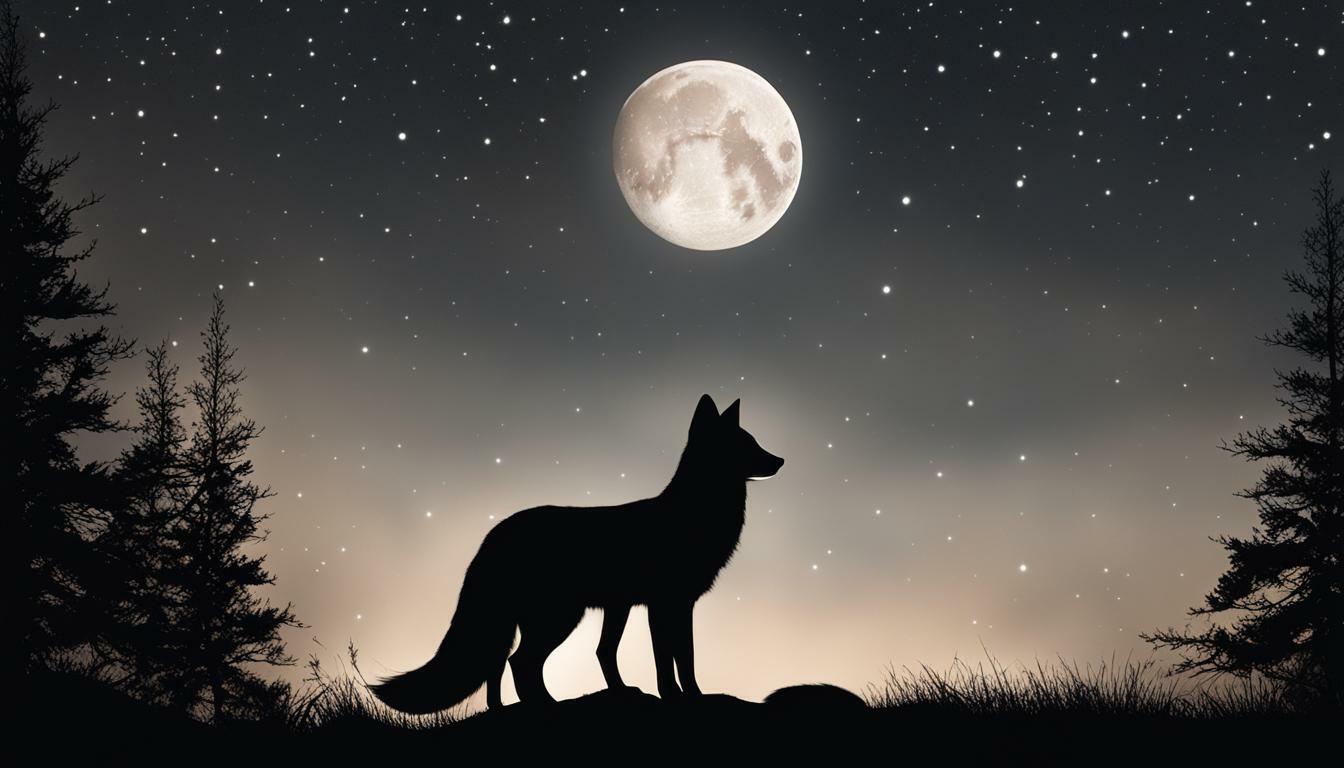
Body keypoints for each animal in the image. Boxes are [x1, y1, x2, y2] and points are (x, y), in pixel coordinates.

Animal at [370, 394, 784, 713]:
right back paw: (544, 706)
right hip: (561, 618)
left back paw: (508, 708)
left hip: (561, 618)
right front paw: (675, 698)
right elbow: (668, 663)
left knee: (505, 662)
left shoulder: (679, 606)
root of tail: (495, 533)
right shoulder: (663, 605)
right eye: (745, 444)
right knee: (520, 662)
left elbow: (686, 660)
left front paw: (694, 696)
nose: (780, 460)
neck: (694, 515)